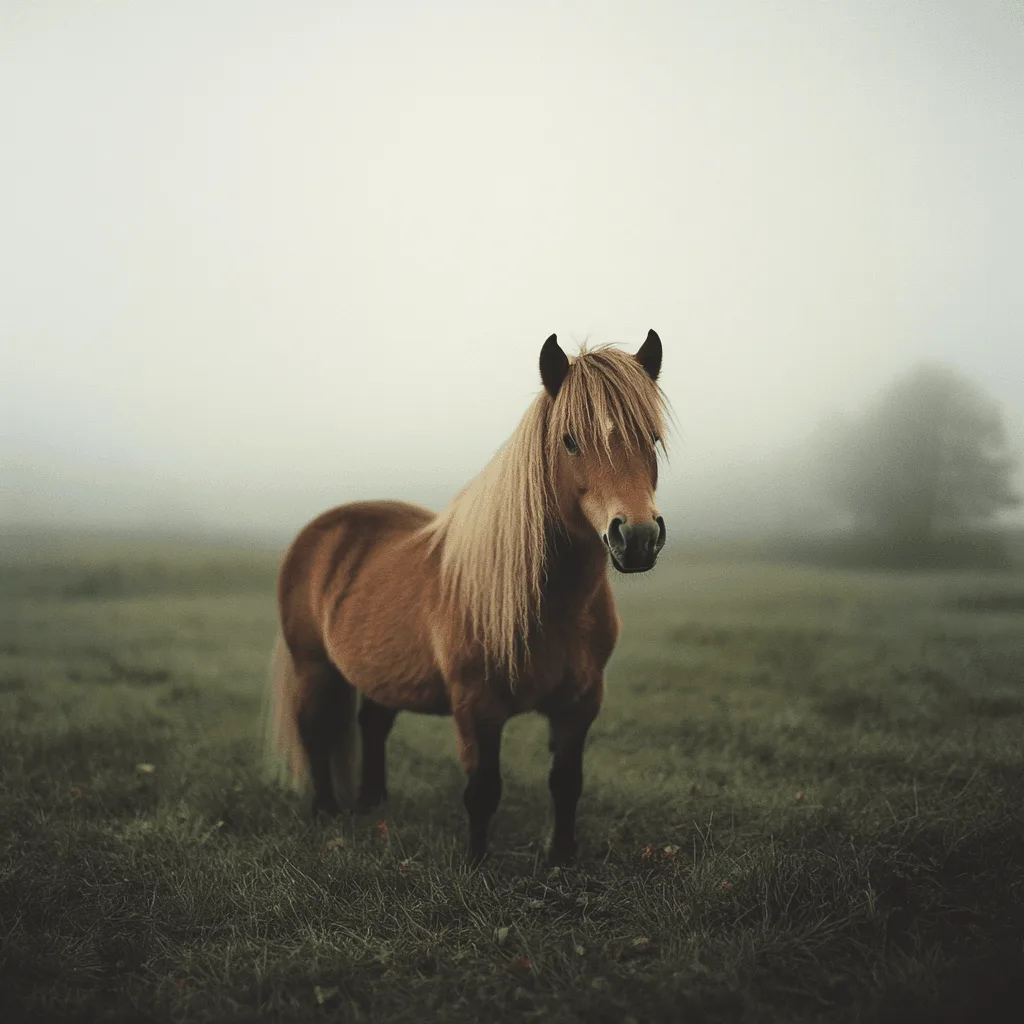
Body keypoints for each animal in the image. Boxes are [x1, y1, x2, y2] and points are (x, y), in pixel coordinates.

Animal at [265, 331, 669, 864]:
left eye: (653, 438)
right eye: (571, 440)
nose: (638, 537)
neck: (553, 607)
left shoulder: (580, 704)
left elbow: (566, 783)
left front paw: (561, 858)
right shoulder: (477, 708)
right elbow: (483, 791)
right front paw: (476, 865)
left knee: (372, 722)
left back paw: (371, 805)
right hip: (313, 665)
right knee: (314, 729)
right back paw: (327, 813)